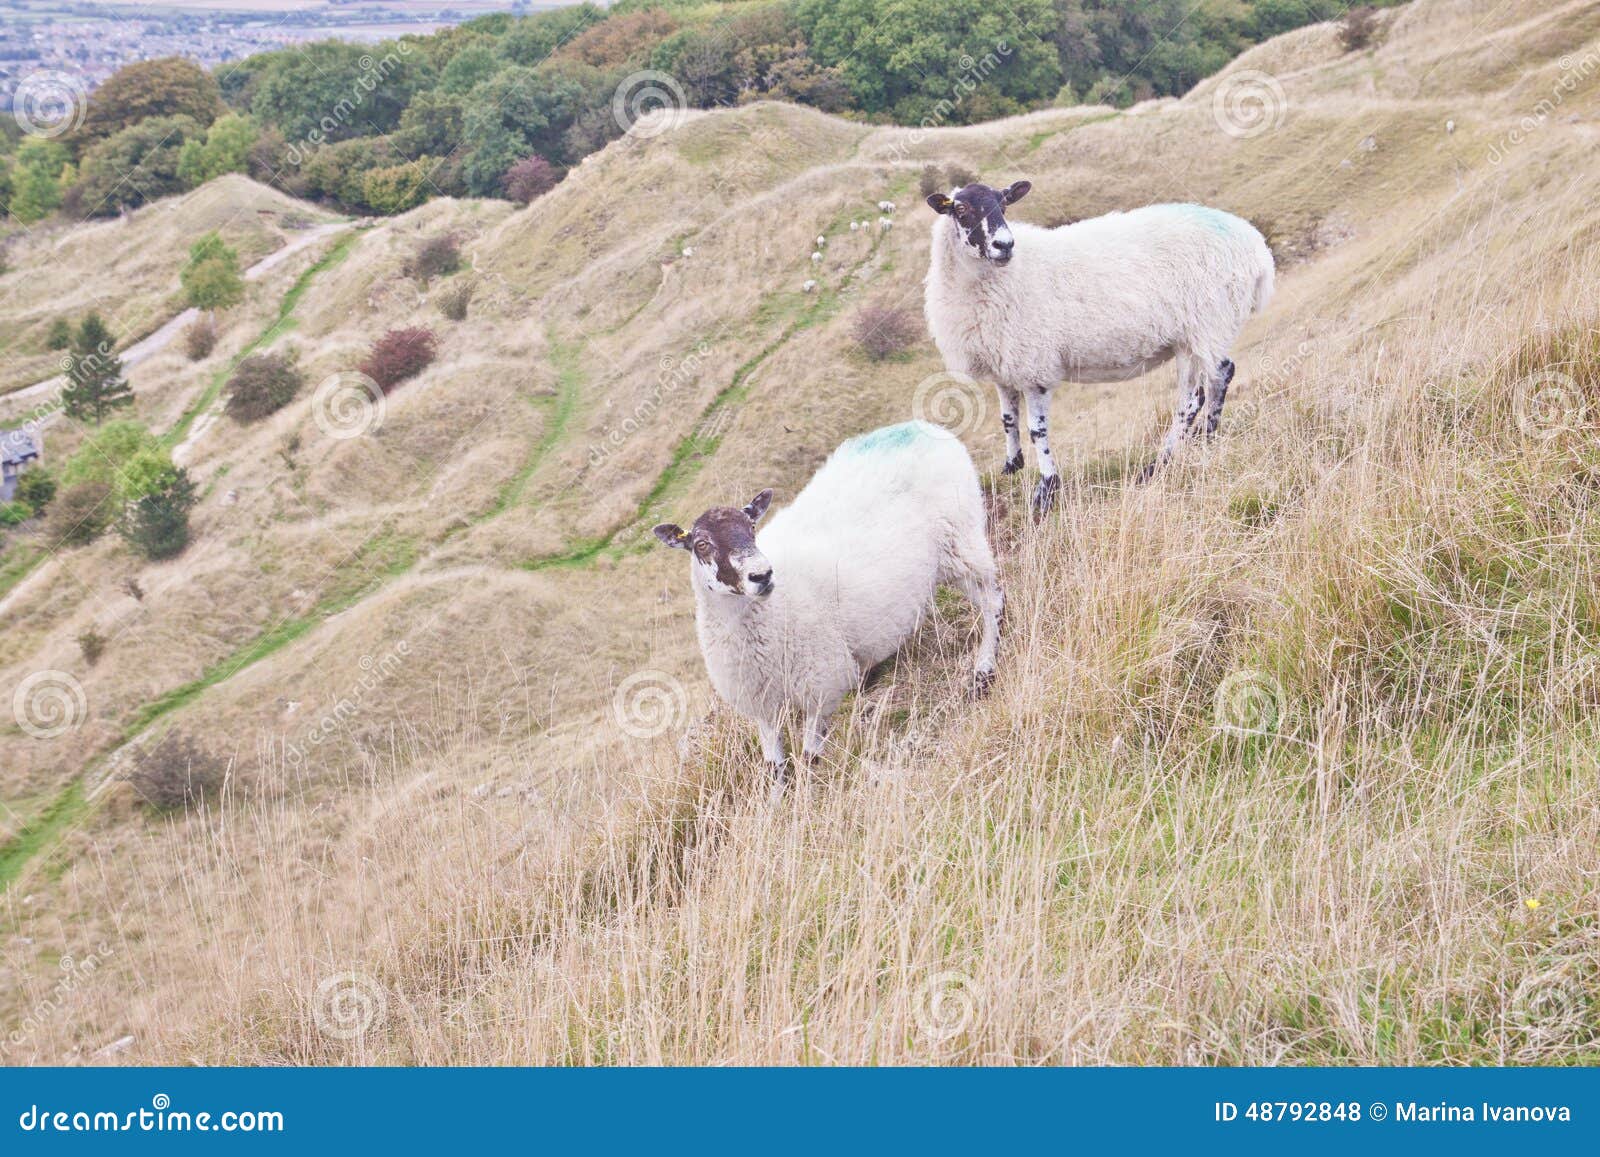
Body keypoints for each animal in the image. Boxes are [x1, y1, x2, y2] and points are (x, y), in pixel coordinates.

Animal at [653, 420, 1003, 782]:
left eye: (751, 528)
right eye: (702, 544)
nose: (762, 575)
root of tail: (919, 425)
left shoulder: (821, 686)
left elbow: (809, 759)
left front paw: (809, 792)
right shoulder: (762, 707)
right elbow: (774, 768)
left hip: (961, 541)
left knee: (992, 601)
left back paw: (983, 669)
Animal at [924, 180, 1275, 513]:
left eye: (1004, 204)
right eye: (960, 209)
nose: (1004, 245)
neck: (1005, 275)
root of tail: (1256, 245)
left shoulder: (1035, 364)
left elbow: (1037, 430)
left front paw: (1046, 490)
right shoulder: (1006, 363)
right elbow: (1008, 419)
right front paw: (1012, 465)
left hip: (1207, 323)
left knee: (1203, 390)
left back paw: (1164, 461)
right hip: (1194, 336)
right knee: (1209, 384)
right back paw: (1201, 441)